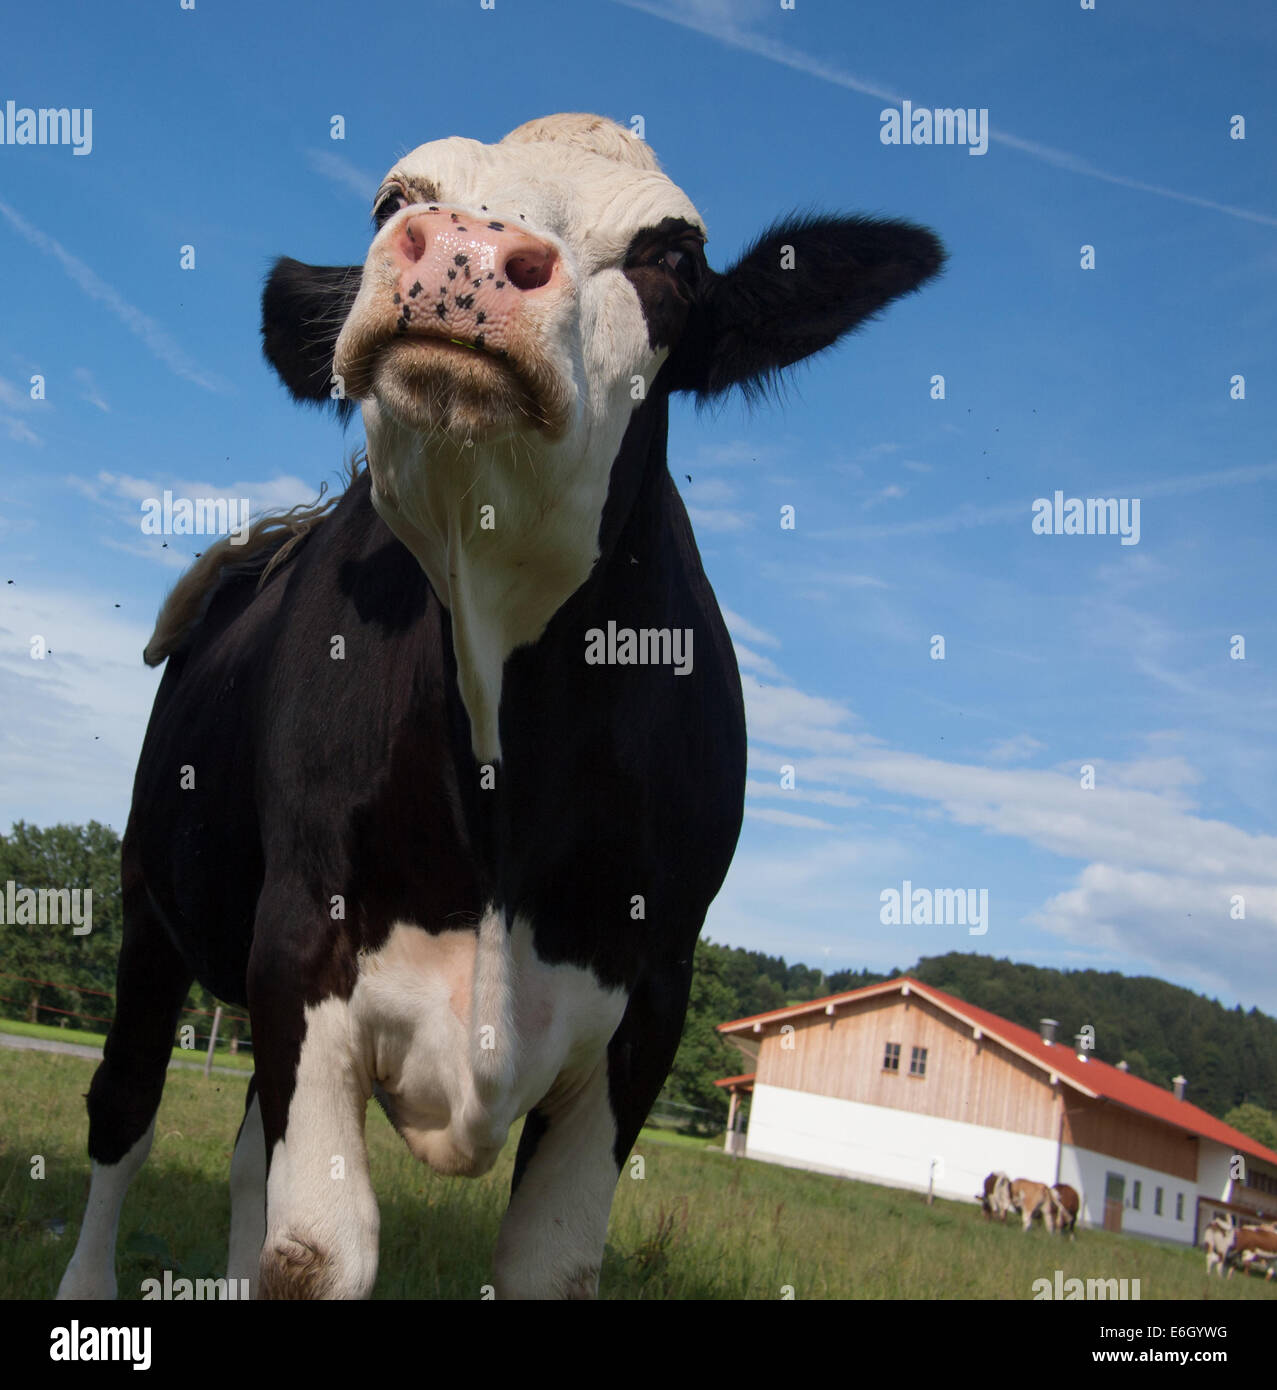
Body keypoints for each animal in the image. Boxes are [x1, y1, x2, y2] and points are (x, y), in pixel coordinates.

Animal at [56, 113, 945, 1300]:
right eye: (393, 202)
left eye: (675, 259)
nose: (466, 251)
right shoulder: (298, 941)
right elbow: (314, 1249)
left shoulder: (650, 1000)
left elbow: (545, 1262)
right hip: (149, 898)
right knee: (125, 1109)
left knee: (244, 1160)